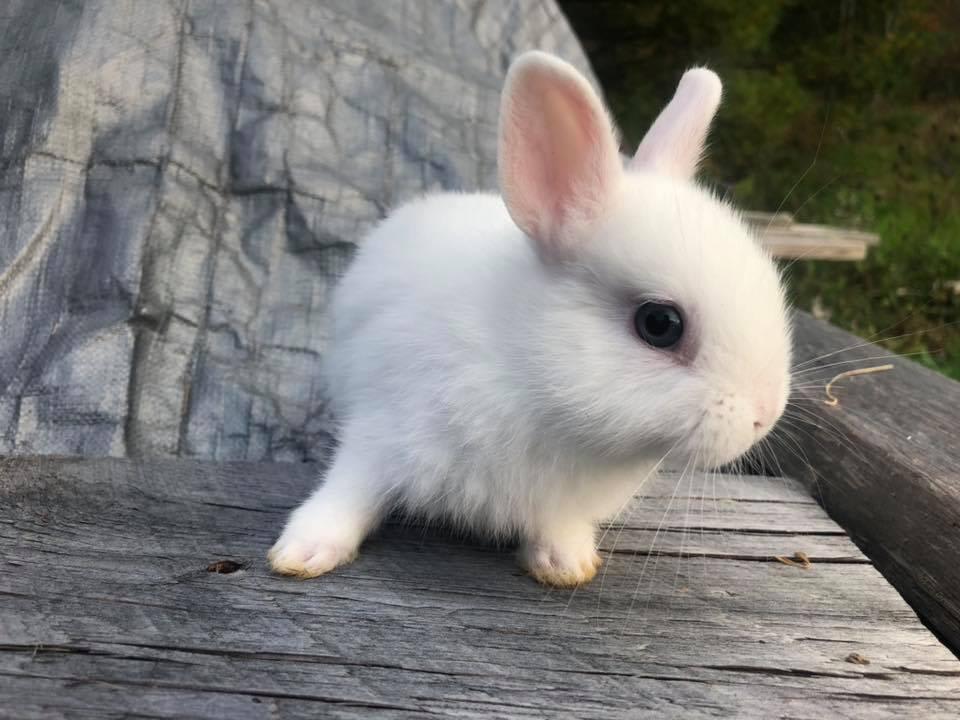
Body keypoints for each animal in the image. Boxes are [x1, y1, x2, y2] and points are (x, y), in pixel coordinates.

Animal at [268, 51, 792, 587]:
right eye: (660, 324)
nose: (765, 415)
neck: (529, 378)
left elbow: (557, 528)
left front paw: (566, 565)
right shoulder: (379, 433)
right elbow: (348, 492)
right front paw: (303, 552)